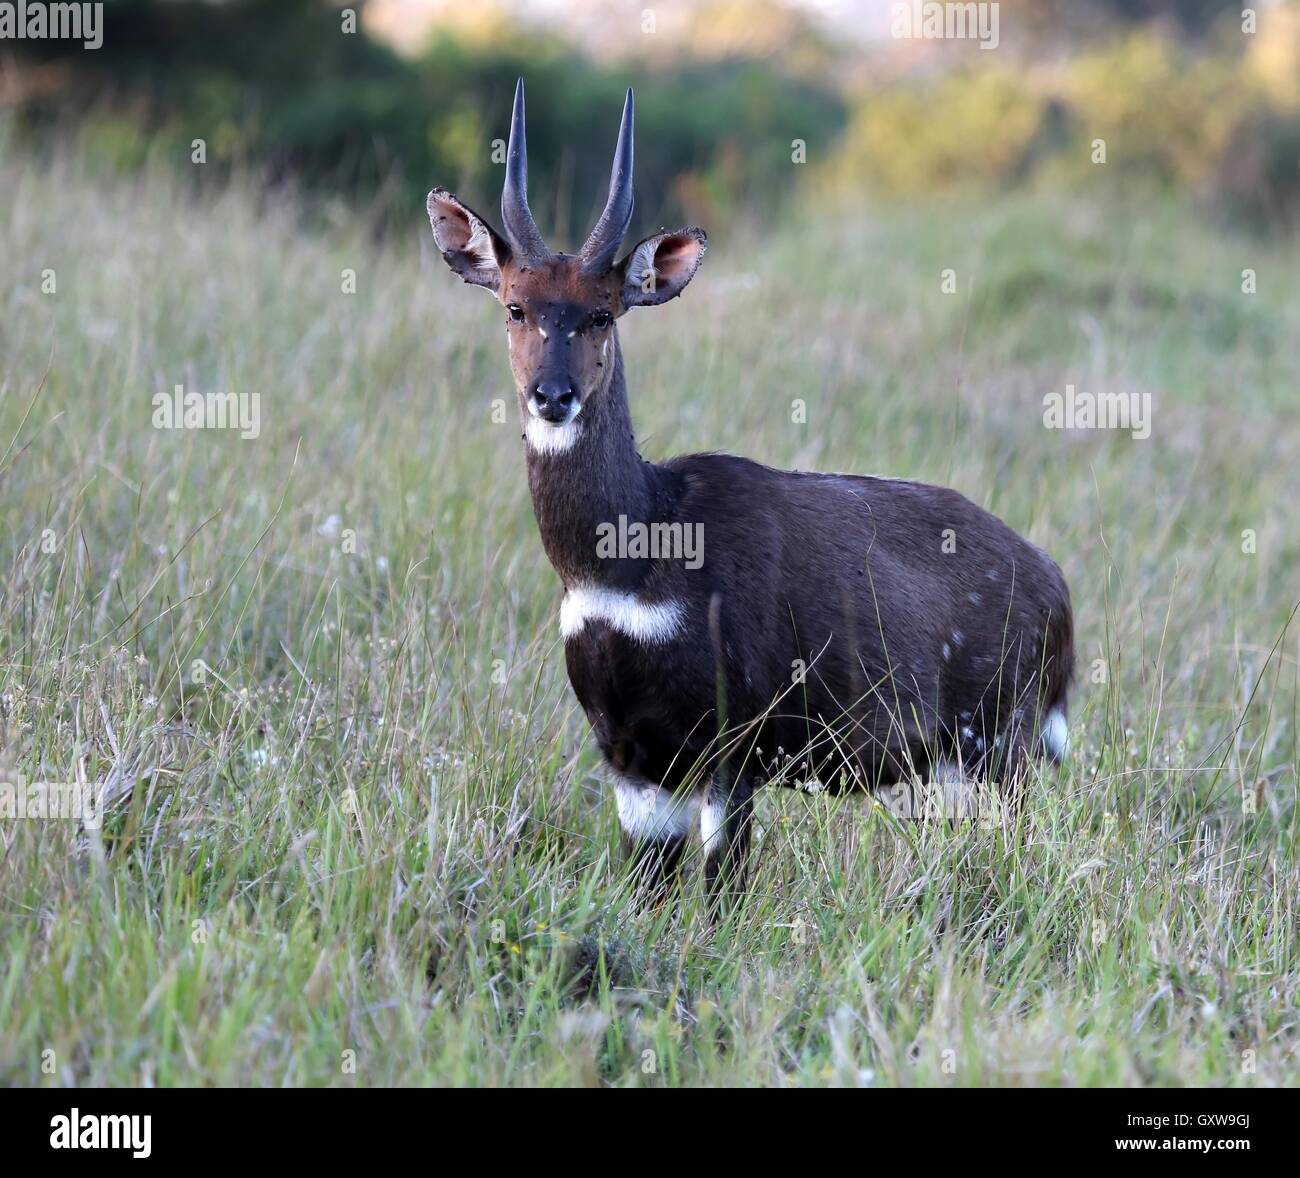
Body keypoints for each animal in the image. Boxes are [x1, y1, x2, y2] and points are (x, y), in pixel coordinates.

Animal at [427, 81, 1074, 903]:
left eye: (602, 312)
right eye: (516, 306)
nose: (553, 395)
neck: (634, 555)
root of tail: (1058, 591)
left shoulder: (733, 744)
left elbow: (718, 897)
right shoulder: (631, 756)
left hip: (992, 747)